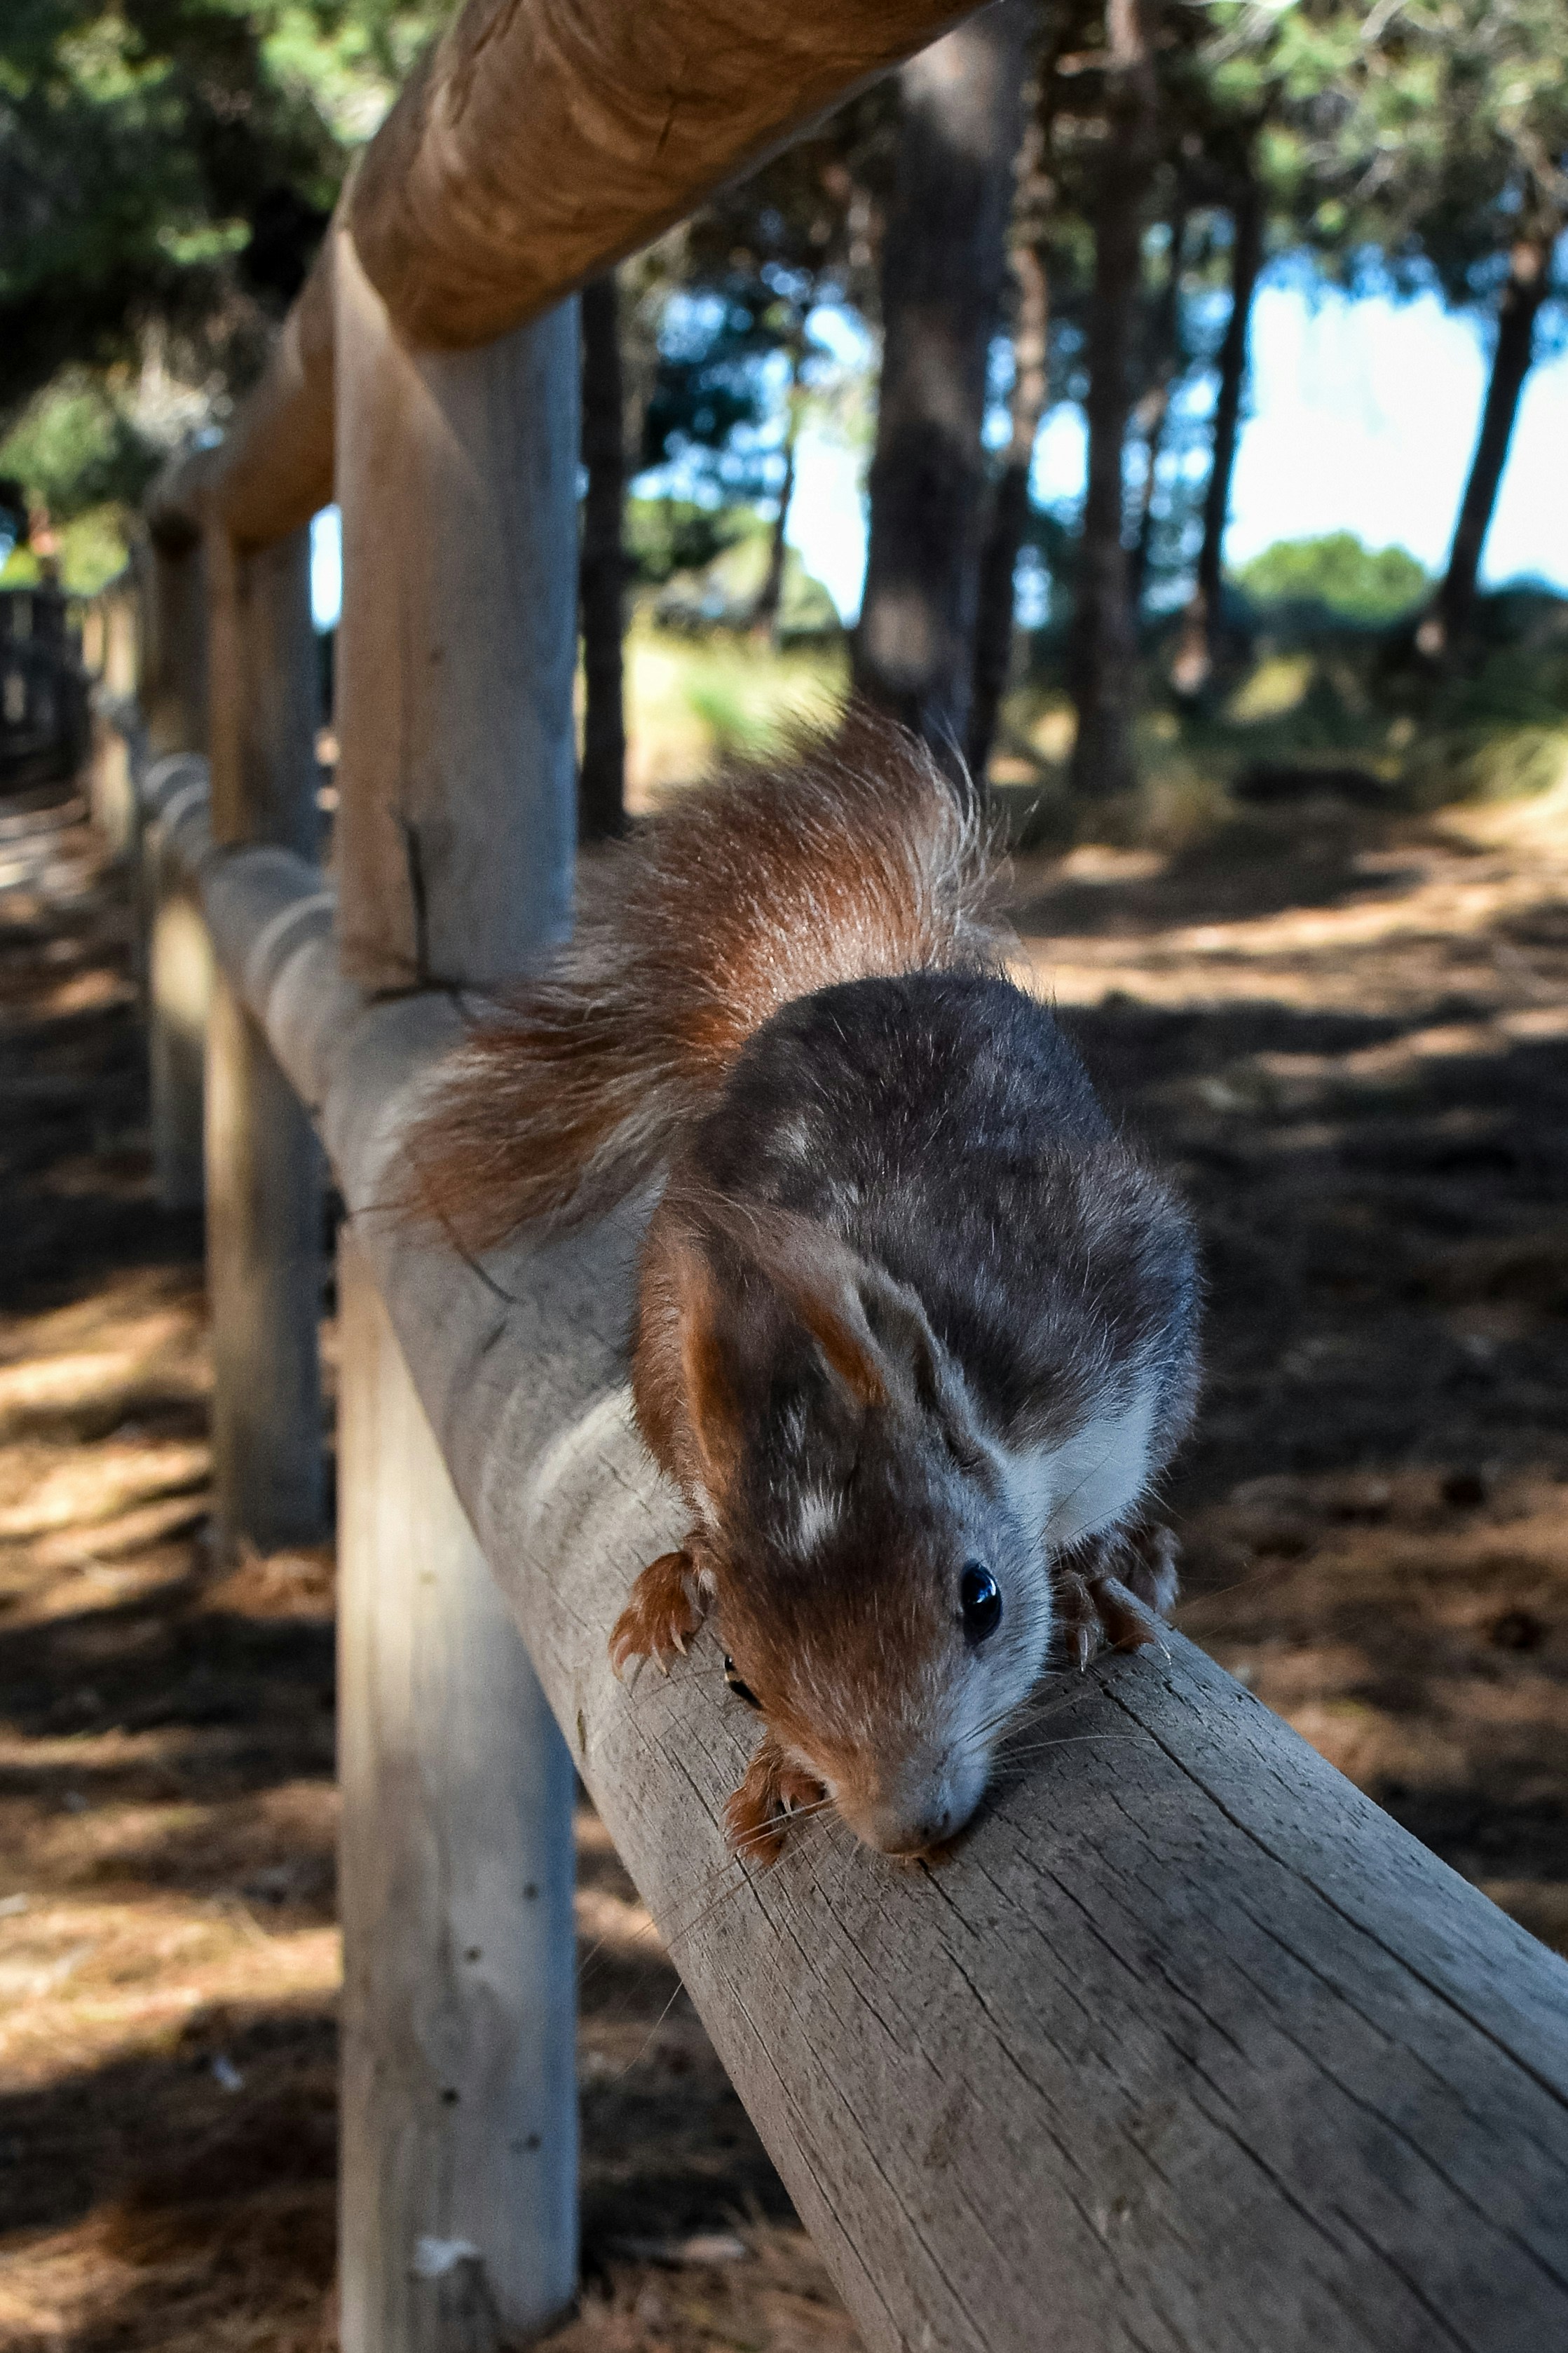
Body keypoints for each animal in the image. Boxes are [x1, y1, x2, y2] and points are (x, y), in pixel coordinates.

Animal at [405, 712, 1200, 1864]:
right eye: (742, 1679)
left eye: (983, 1598)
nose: (909, 1827)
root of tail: (845, 984)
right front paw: (778, 1765)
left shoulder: (1101, 1335)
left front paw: (1093, 1577)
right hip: (660, 1355)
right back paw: (676, 1569)